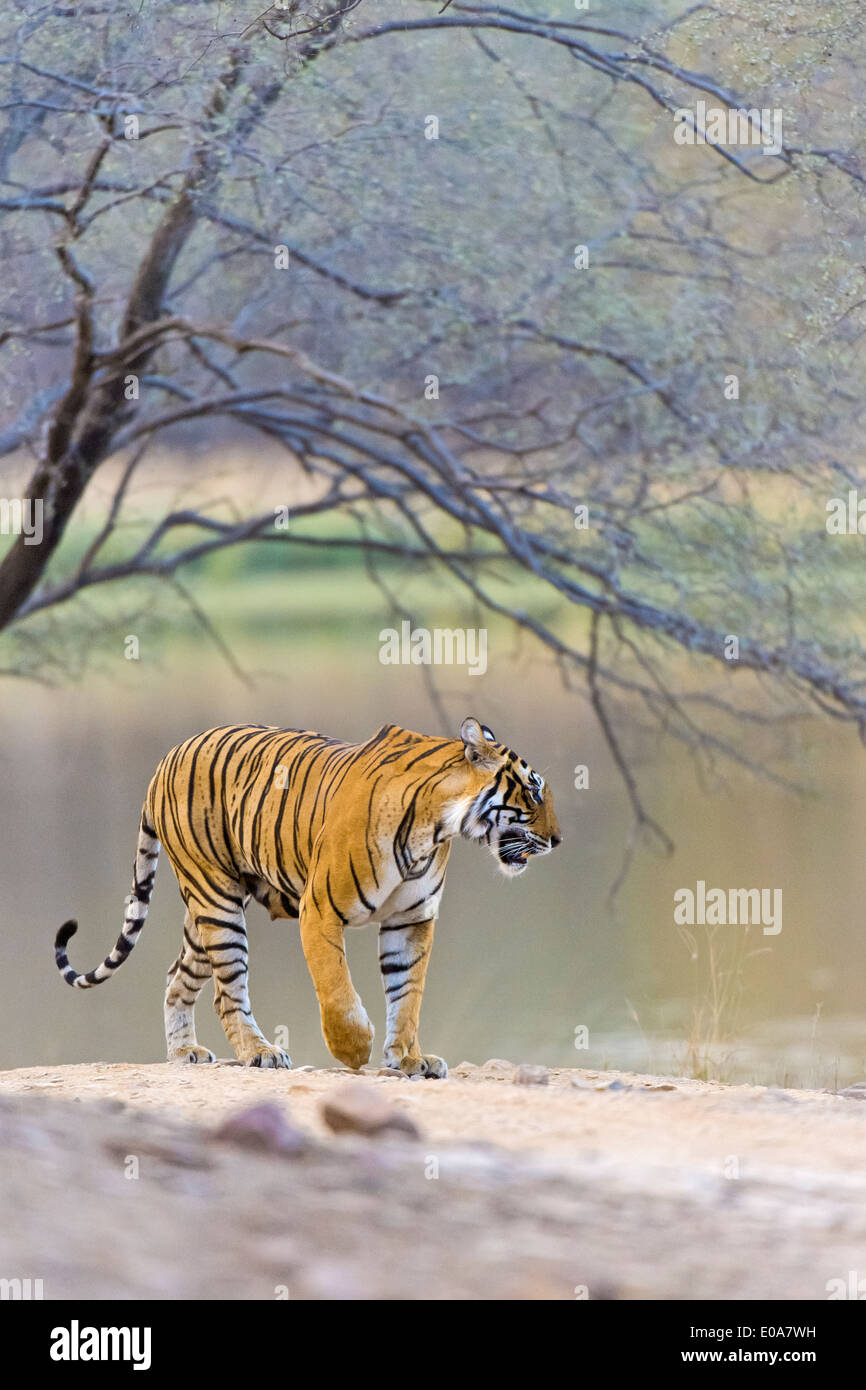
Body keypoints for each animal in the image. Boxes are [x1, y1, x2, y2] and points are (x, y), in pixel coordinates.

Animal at [54, 716, 561, 1077]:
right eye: (534, 791)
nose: (558, 840)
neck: (437, 825)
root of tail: (166, 758)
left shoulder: (411, 920)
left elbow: (407, 994)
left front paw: (409, 1058)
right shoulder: (320, 910)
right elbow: (336, 989)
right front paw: (355, 1050)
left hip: (205, 914)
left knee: (178, 976)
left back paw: (186, 1052)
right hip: (216, 900)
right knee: (226, 990)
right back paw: (259, 1052)